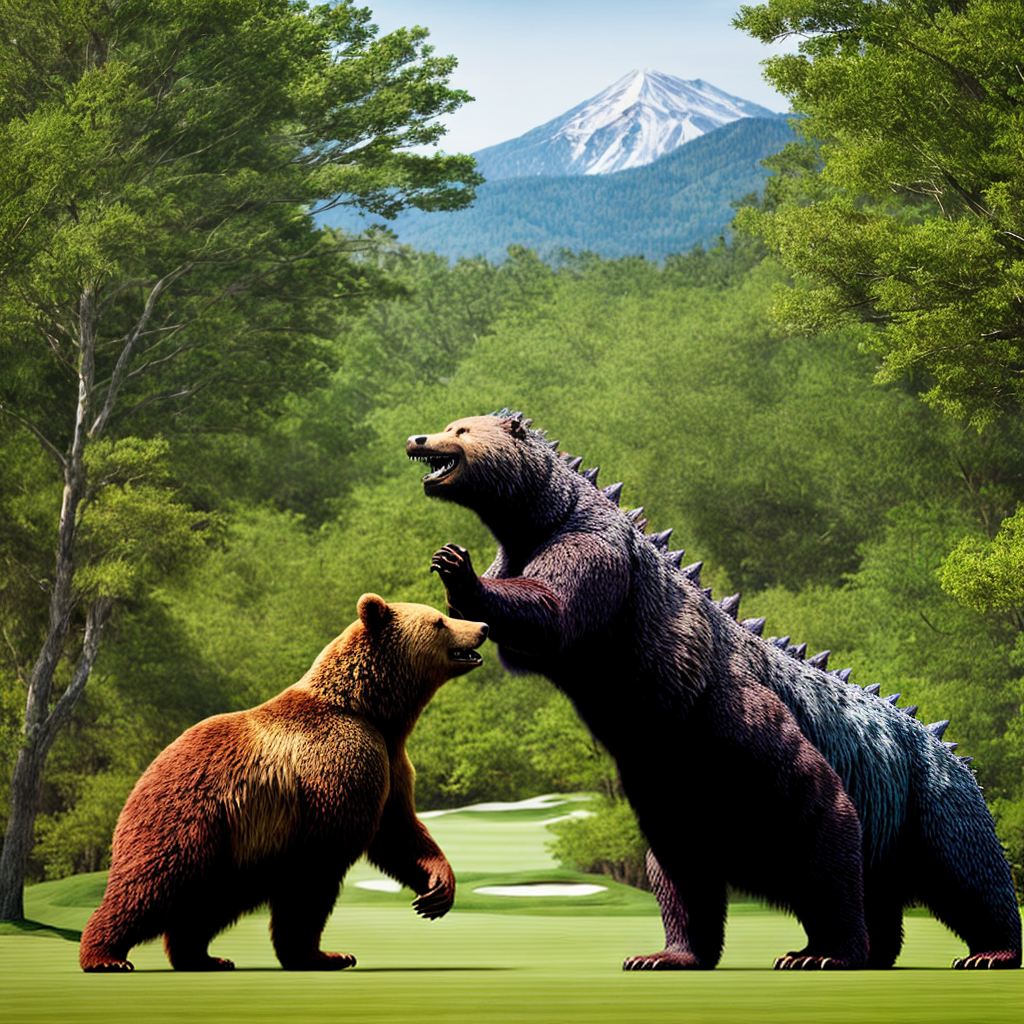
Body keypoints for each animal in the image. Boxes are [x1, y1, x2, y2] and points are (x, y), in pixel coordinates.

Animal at [79, 594, 488, 972]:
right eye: (439, 621)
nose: (482, 627)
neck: (371, 709)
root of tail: (145, 775)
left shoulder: (389, 760)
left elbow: (398, 829)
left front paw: (437, 890)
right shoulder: (337, 763)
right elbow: (315, 873)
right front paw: (323, 954)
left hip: (234, 850)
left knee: (208, 901)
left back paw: (202, 957)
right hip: (191, 819)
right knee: (152, 882)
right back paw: (105, 956)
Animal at [407, 411, 1022, 971]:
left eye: (460, 429)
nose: (418, 438)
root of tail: (942, 738)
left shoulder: (603, 556)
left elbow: (554, 608)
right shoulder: (665, 751)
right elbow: (679, 862)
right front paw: (665, 955)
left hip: (917, 788)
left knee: (948, 865)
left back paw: (978, 950)